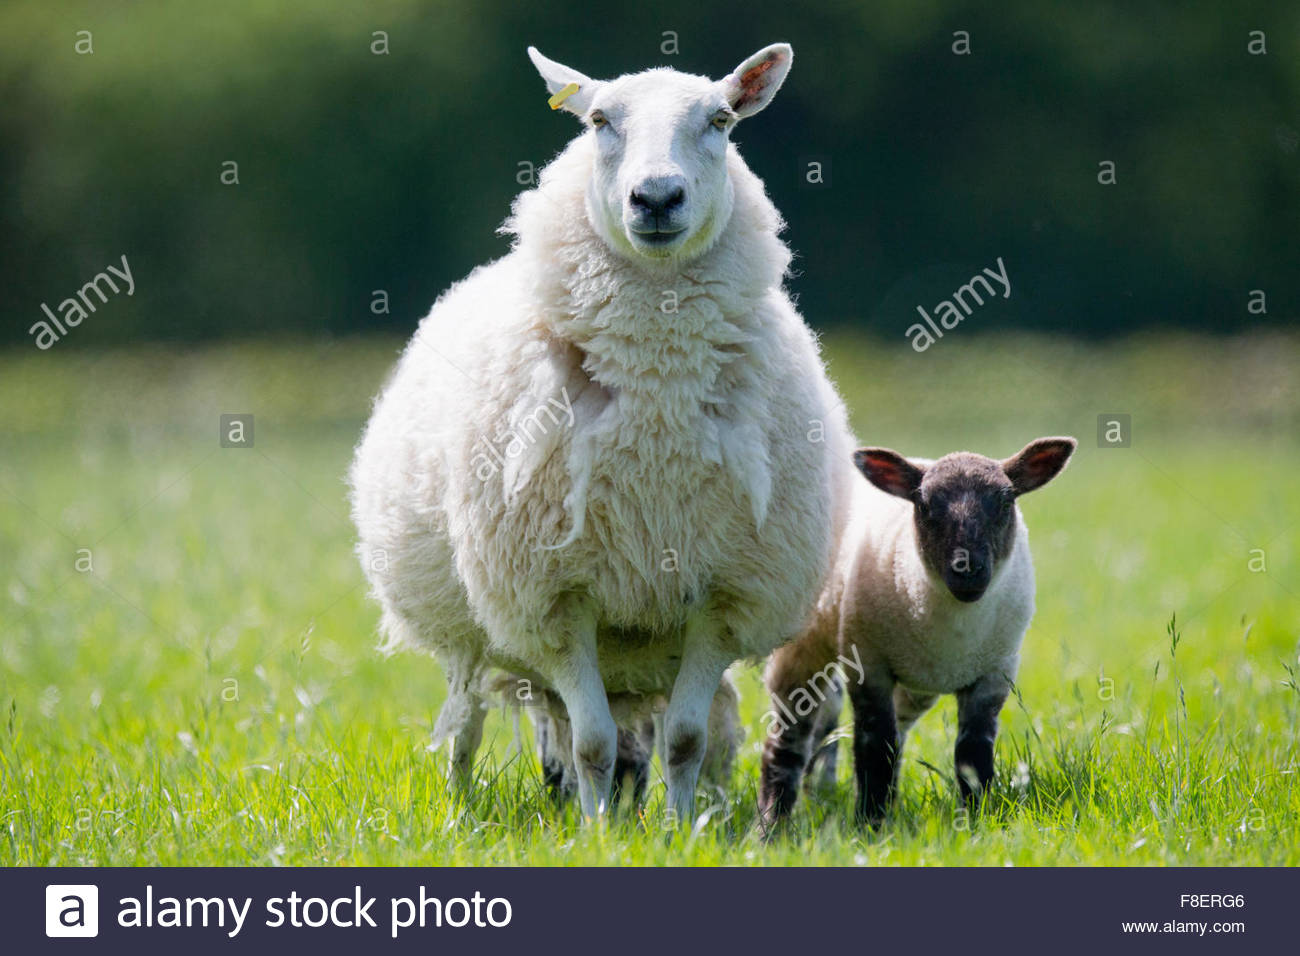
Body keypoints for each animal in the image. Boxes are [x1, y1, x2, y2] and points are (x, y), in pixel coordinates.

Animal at [348, 42, 856, 823]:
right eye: (597, 121)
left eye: (721, 119)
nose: (657, 198)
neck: (655, 404)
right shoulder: (558, 598)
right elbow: (591, 744)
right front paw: (594, 835)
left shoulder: (720, 597)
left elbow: (682, 738)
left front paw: (679, 830)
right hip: (470, 628)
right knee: (468, 724)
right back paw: (464, 811)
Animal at [759, 437, 1076, 825]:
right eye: (924, 505)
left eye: (1006, 502)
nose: (967, 569)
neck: (954, 628)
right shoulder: (870, 666)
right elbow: (876, 748)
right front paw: (871, 824)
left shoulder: (993, 674)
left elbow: (971, 754)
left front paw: (976, 818)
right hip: (803, 646)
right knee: (786, 743)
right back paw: (772, 824)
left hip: (914, 688)